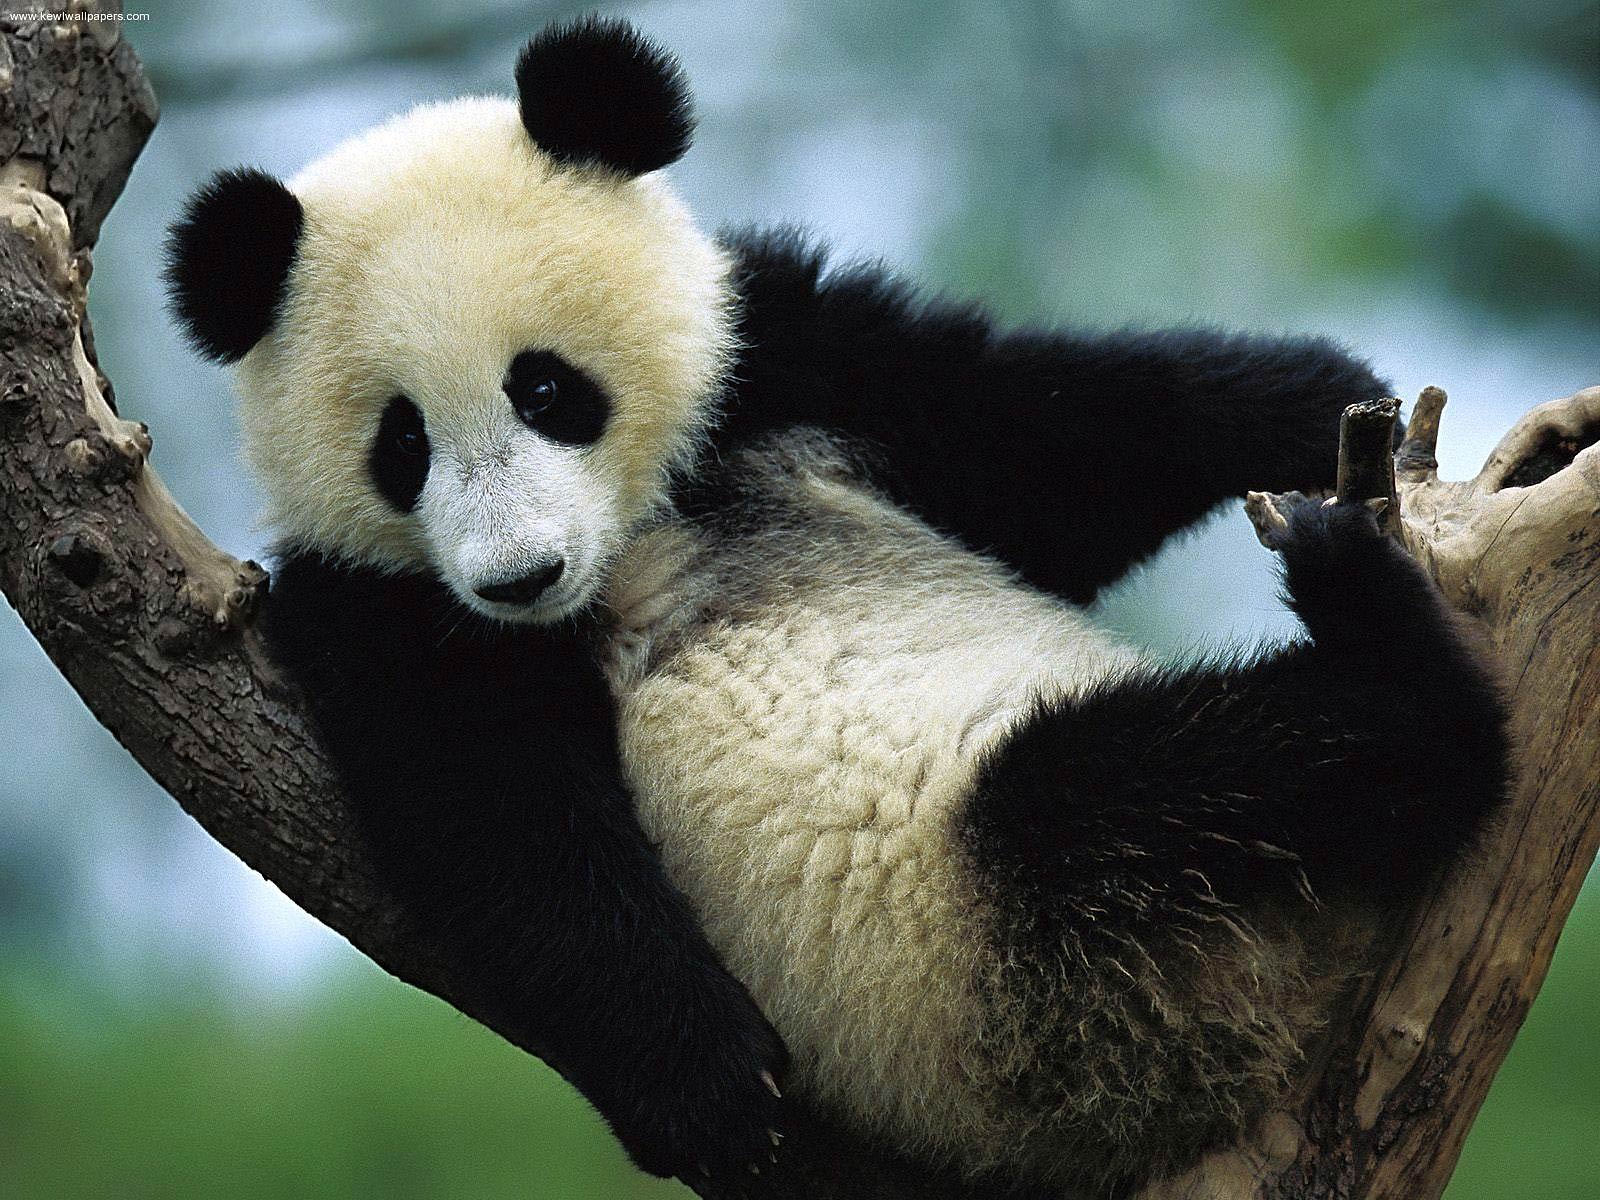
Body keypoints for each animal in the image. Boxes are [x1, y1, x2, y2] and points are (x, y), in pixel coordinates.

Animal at [163, 17, 1511, 1197]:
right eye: (403, 444)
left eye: (545, 389)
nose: (518, 577)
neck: (637, 534)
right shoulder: (381, 607)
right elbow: (499, 815)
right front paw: (707, 1084)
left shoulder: (783, 364)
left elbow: (1039, 437)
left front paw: (1318, 397)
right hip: (1036, 968)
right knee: (1153, 788)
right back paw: (1375, 639)